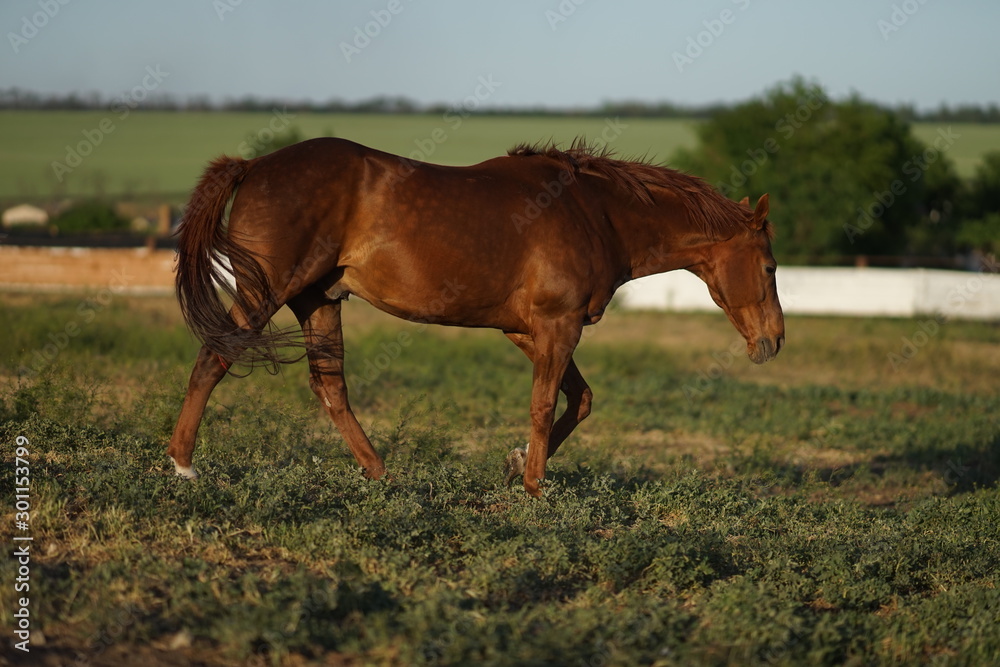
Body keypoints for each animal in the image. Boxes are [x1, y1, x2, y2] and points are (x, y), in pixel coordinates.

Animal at [167, 138, 784, 497]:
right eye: (771, 266)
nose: (774, 342)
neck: (595, 211)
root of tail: (253, 165)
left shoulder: (528, 329)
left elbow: (578, 399)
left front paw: (516, 464)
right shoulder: (557, 325)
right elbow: (545, 404)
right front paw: (534, 486)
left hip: (319, 300)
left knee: (329, 388)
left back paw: (383, 475)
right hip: (267, 289)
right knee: (214, 359)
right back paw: (183, 466)